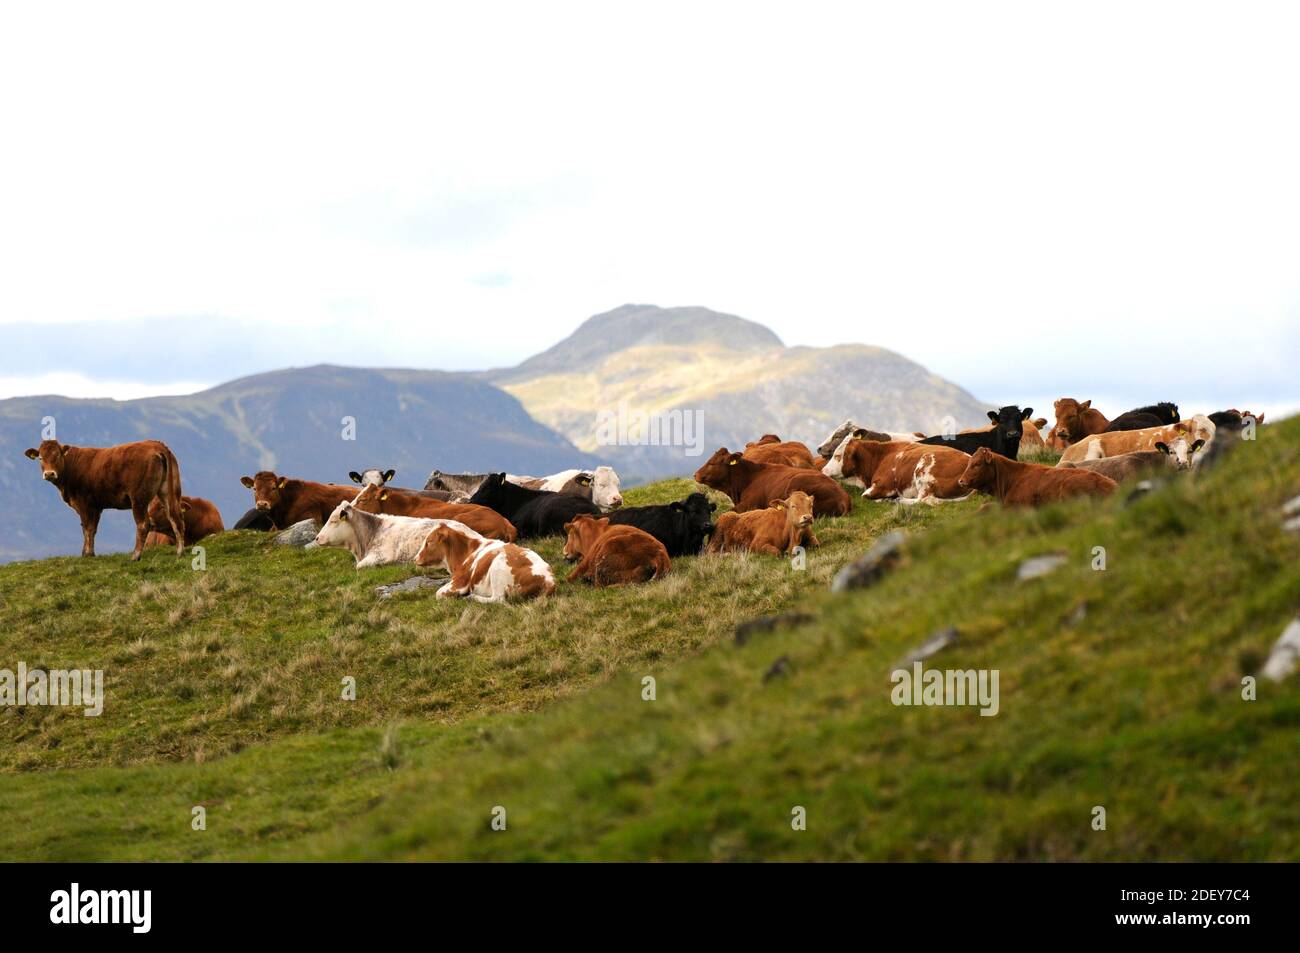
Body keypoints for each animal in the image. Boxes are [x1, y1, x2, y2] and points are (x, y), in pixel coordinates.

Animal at [23, 439, 186, 559]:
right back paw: (180, 552)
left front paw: (87, 554)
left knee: (143, 524)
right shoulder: (96, 506)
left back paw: (135, 555)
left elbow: (87, 528)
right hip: (169, 493)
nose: (49, 474)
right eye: (40, 458)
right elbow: (92, 529)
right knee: (176, 519)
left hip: (139, 498)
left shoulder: (84, 503)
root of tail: (157, 445)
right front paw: (89, 552)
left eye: (57, 455)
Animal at [414, 522, 554, 603]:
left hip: (497, 567)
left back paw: (472, 598)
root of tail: (549, 580)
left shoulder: (459, 582)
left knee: (498, 600)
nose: (415, 558)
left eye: (429, 541)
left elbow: (438, 594)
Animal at [825, 438, 974, 504]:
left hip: (924, 470)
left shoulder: (883, 484)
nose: (824, 470)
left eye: (837, 456)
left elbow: (865, 495)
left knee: (925, 500)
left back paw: (899, 500)